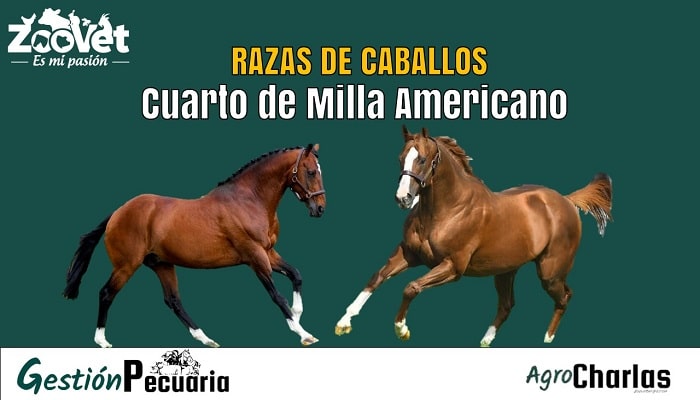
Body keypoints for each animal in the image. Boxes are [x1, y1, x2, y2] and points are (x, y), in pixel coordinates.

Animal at [64, 144, 326, 347]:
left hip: (161, 264)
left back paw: (206, 339)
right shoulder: (255, 256)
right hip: (126, 266)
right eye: (311, 171)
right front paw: (304, 333)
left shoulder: (268, 252)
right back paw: (102, 341)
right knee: (106, 293)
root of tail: (117, 213)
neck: (249, 200)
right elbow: (277, 296)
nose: (320, 208)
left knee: (173, 301)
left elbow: (296, 275)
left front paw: (298, 314)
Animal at [335, 127, 612, 346]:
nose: (403, 198)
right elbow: (377, 277)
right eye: (401, 158)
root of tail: (566, 200)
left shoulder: (452, 267)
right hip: (505, 271)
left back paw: (547, 338)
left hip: (550, 272)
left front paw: (401, 328)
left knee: (565, 297)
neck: (447, 209)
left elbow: (410, 287)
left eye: (422, 159)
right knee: (507, 305)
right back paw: (486, 340)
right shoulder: (410, 254)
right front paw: (344, 322)